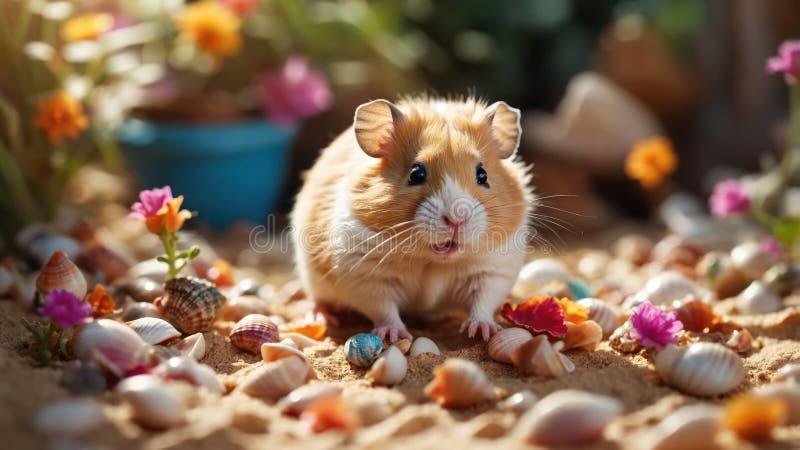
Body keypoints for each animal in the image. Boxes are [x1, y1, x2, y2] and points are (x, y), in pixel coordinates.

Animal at [291, 97, 533, 342]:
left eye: (482, 175)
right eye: (416, 174)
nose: (457, 219)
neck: (432, 260)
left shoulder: (493, 269)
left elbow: (483, 301)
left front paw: (483, 331)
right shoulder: (365, 275)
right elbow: (383, 308)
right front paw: (394, 335)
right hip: (312, 277)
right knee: (320, 300)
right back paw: (320, 318)